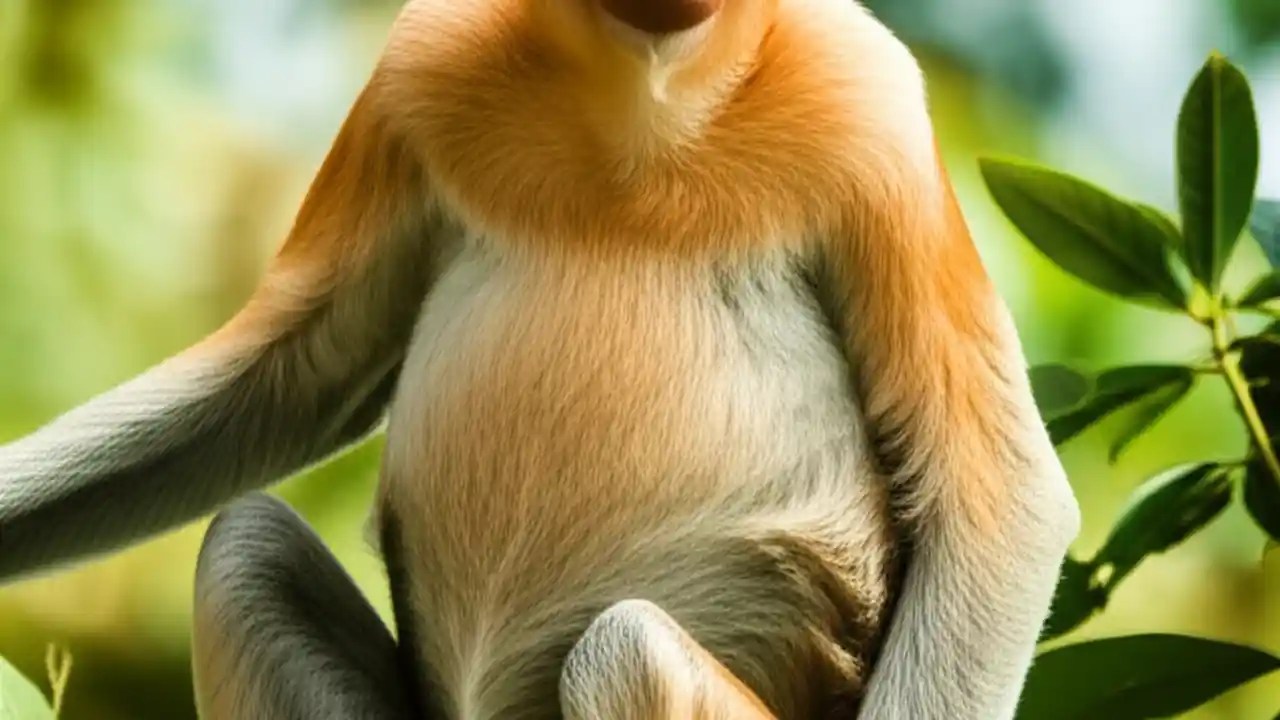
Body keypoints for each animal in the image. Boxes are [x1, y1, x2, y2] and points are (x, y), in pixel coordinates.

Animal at [0, 0, 1081, 718]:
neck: (646, 89)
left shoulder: (867, 110)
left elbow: (1001, 498)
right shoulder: (418, 69)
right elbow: (295, 374)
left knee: (627, 653)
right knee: (246, 552)